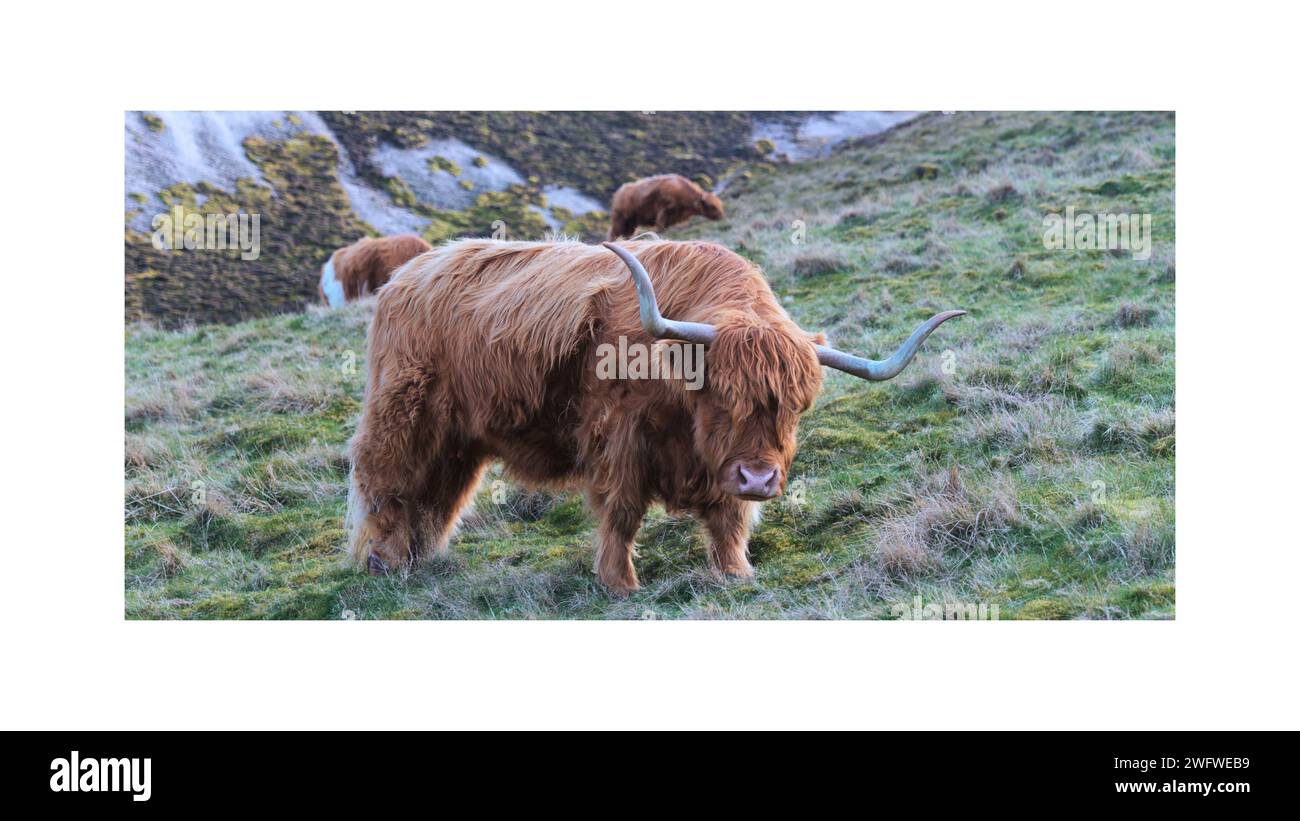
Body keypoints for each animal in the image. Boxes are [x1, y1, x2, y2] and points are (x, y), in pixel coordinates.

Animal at [346, 238, 964, 595]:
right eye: (720, 393)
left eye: (795, 406)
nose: (760, 477)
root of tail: (406, 275)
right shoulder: (619, 439)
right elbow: (621, 514)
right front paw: (621, 585)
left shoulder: (721, 466)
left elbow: (731, 517)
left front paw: (736, 574)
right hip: (404, 409)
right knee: (384, 478)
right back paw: (385, 563)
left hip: (460, 438)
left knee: (438, 496)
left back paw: (422, 560)